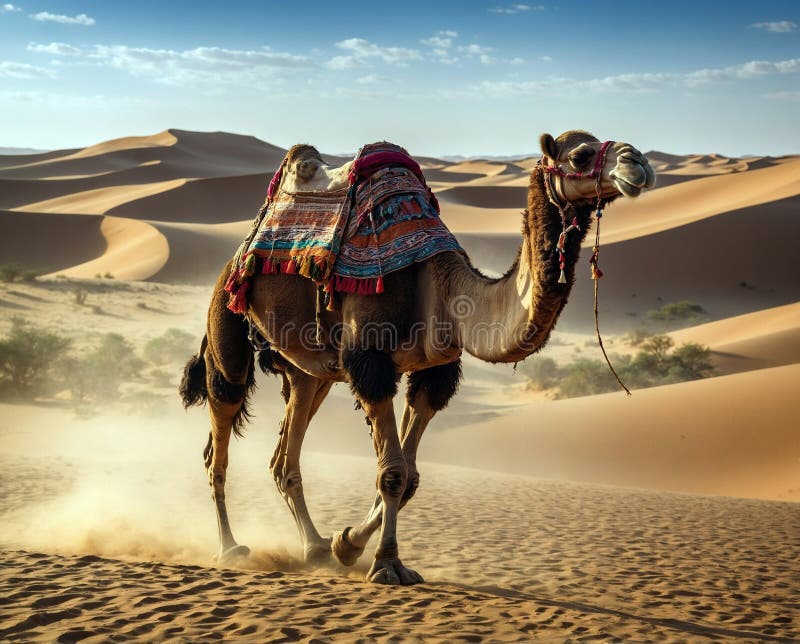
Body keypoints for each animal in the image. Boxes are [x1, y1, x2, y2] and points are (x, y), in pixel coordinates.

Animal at [180, 130, 656, 585]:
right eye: (580, 155)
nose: (639, 164)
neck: (442, 288)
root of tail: (232, 261)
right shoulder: (370, 362)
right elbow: (391, 473)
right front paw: (386, 565)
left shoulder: (433, 372)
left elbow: (407, 477)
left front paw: (346, 544)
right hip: (227, 331)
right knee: (218, 444)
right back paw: (230, 548)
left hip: (311, 373)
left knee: (284, 456)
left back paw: (315, 548)